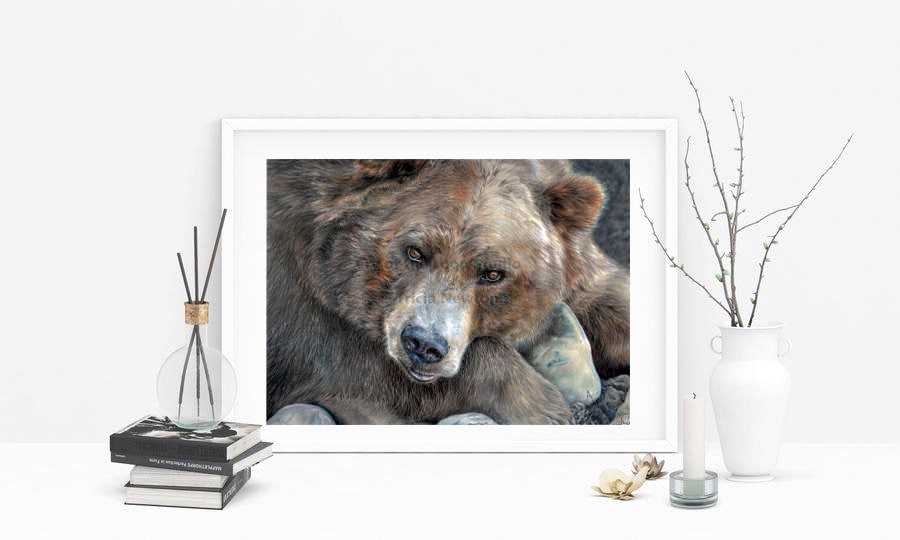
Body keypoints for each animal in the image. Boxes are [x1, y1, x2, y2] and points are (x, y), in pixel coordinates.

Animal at [266, 159, 630, 424]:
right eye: (415, 251)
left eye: (492, 273)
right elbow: (351, 369)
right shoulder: (296, 297)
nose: (423, 345)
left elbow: (608, 301)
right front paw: (544, 407)